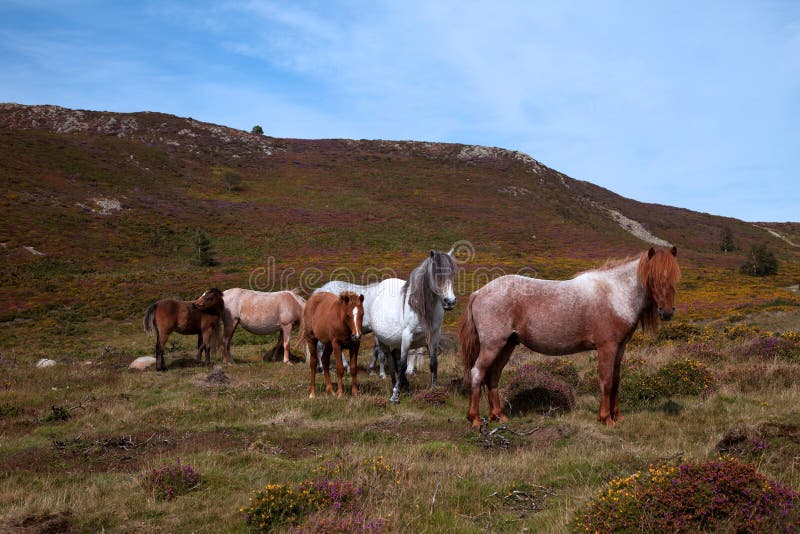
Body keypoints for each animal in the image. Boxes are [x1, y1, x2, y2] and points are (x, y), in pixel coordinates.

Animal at [370, 249, 458, 403]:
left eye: (452, 274)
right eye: (437, 275)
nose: (450, 301)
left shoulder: (434, 336)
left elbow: (433, 363)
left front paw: (434, 390)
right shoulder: (407, 336)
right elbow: (403, 364)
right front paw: (395, 396)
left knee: (394, 358)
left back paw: (404, 385)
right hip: (382, 340)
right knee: (390, 361)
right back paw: (395, 386)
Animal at [459, 246, 680, 428]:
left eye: (674, 278)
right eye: (652, 277)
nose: (667, 312)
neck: (614, 293)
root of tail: (479, 292)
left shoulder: (620, 348)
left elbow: (616, 380)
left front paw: (617, 416)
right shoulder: (606, 347)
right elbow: (606, 381)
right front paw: (606, 419)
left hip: (507, 345)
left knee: (493, 375)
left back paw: (499, 416)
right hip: (492, 346)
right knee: (477, 373)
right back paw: (475, 419)